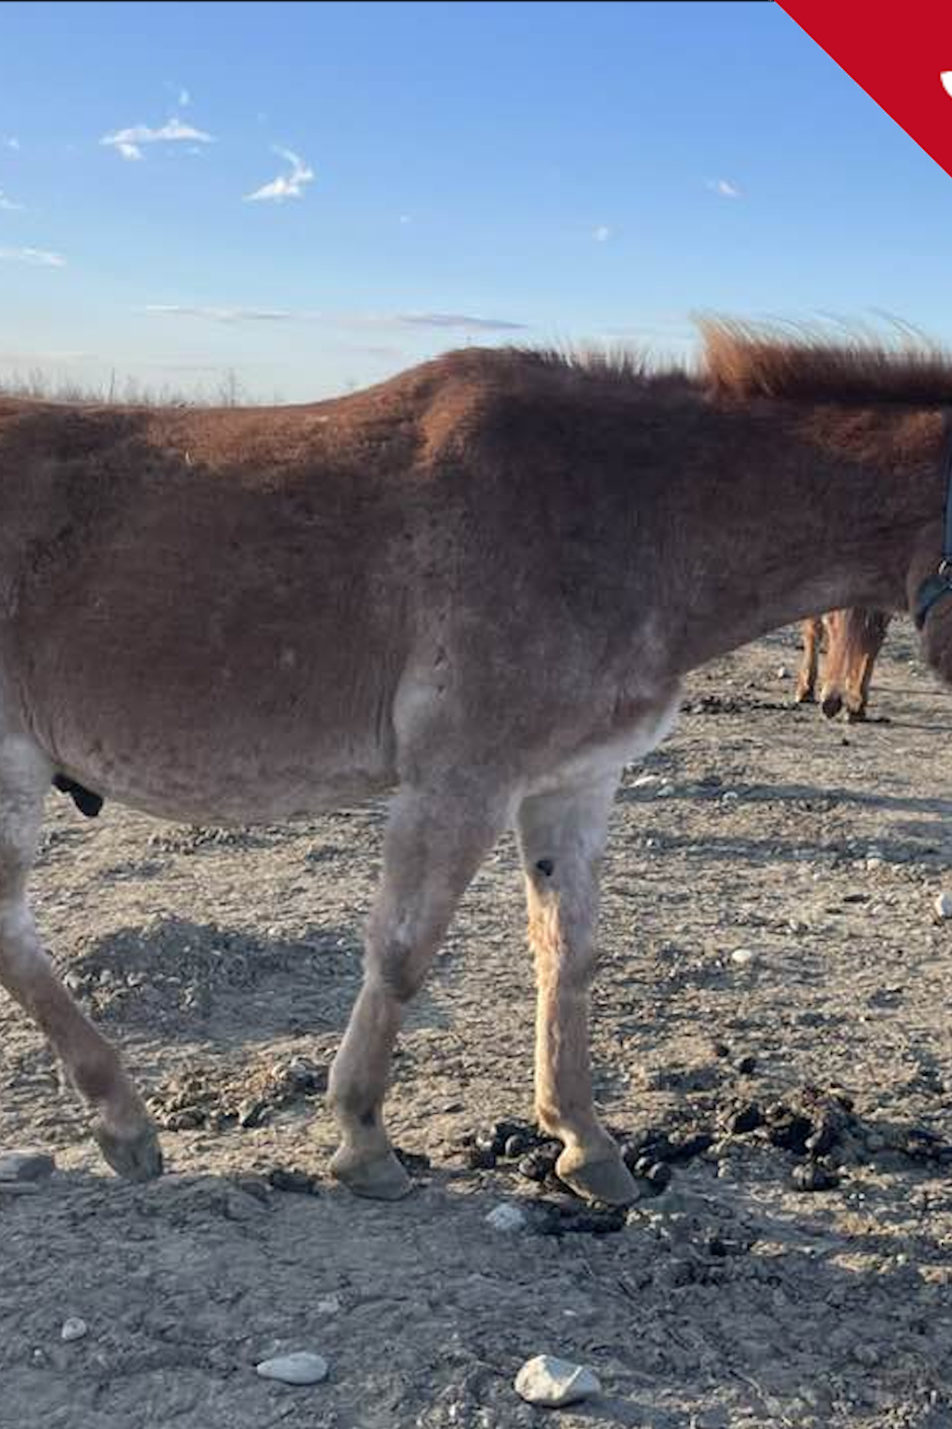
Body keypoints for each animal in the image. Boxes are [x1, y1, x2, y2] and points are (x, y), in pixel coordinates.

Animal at [1, 319, 951, 1208]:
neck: (630, 511)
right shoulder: (460, 782)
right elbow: (402, 953)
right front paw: (364, 1138)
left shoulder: (573, 783)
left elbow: (570, 950)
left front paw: (583, 1139)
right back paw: (124, 1119)